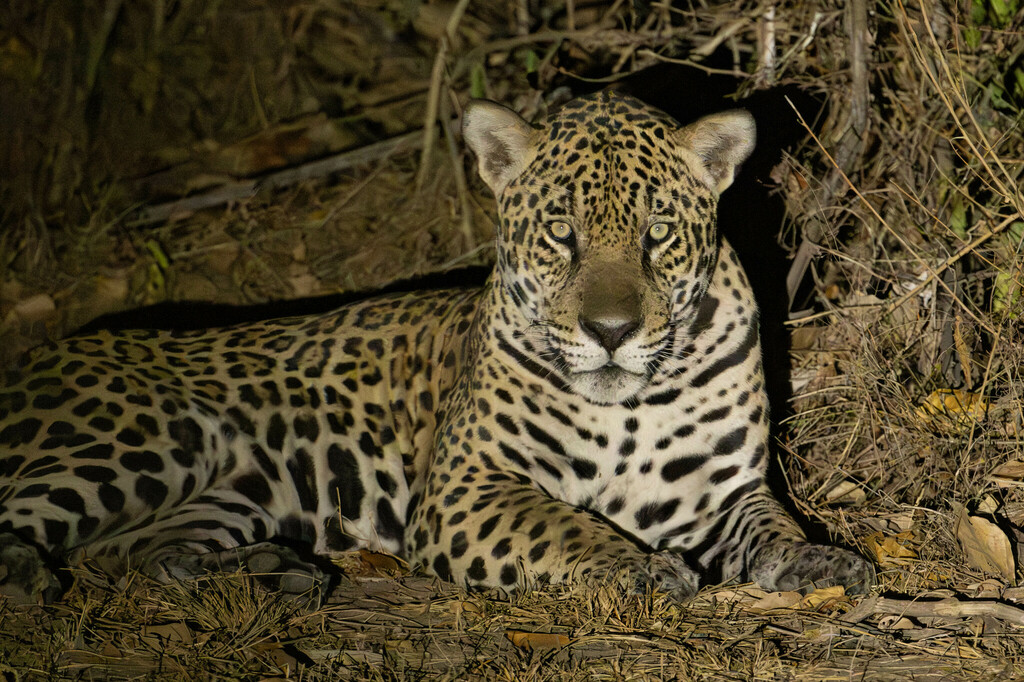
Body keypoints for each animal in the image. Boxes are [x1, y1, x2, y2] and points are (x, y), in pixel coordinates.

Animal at [0, 91, 874, 605]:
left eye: (657, 233)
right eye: (562, 233)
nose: (612, 332)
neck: (627, 408)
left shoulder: (721, 493)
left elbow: (773, 527)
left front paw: (824, 562)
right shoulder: (467, 488)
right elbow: (566, 526)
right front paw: (642, 567)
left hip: (223, 492)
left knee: (131, 551)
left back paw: (273, 574)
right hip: (145, 440)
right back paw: (26, 580)